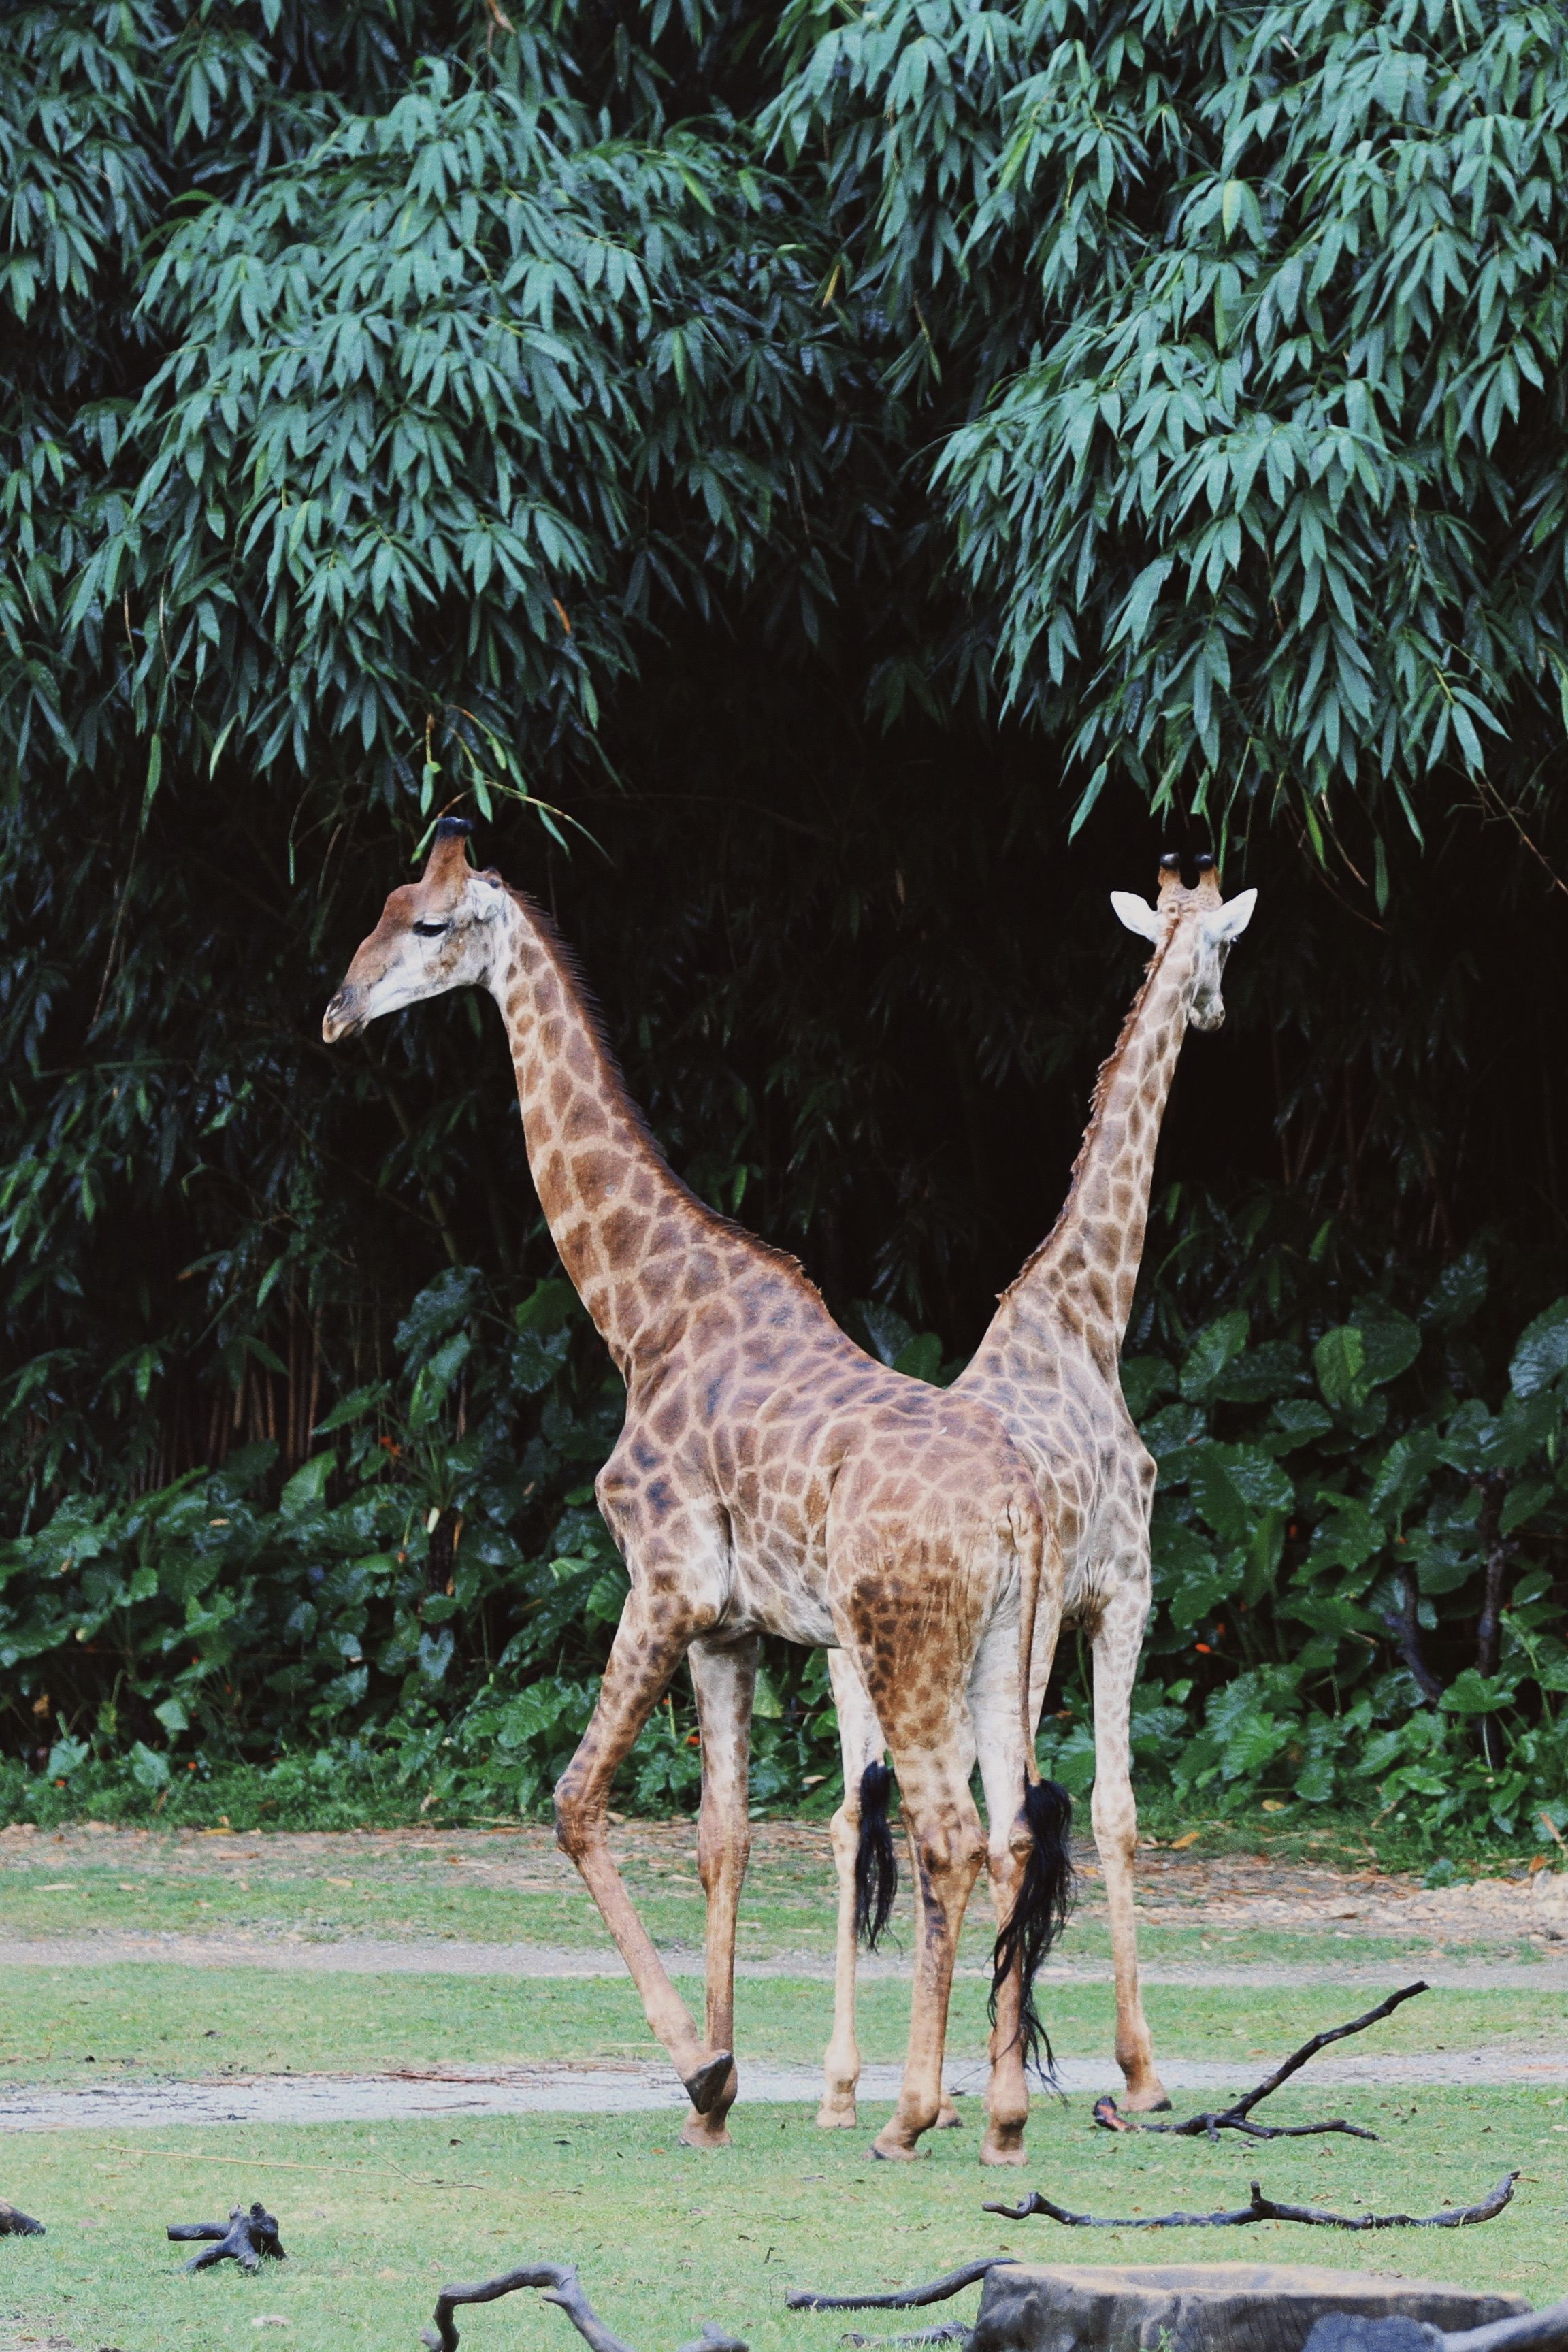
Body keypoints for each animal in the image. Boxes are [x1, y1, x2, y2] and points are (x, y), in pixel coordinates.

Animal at [322, 818, 1075, 2164]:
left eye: (427, 925)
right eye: (384, 906)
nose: (338, 1011)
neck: (642, 1313)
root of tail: (1017, 1507)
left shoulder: (662, 1582)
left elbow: (575, 1802)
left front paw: (701, 2067)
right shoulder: (731, 1628)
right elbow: (723, 1837)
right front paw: (713, 2100)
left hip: (905, 1644)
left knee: (945, 1835)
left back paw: (906, 2116)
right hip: (1002, 1645)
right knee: (1011, 1832)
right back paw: (997, 2119)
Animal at [816, 852, 1257, 2128]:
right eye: (1222, 943)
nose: (1215, 1009)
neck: (1085, 1314)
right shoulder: (1120, 1592)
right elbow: (1109, 1807)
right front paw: (1138, 2067)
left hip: (852, 1658)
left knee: (851, 1815)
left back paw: (845, 2085)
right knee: (960, 1817)